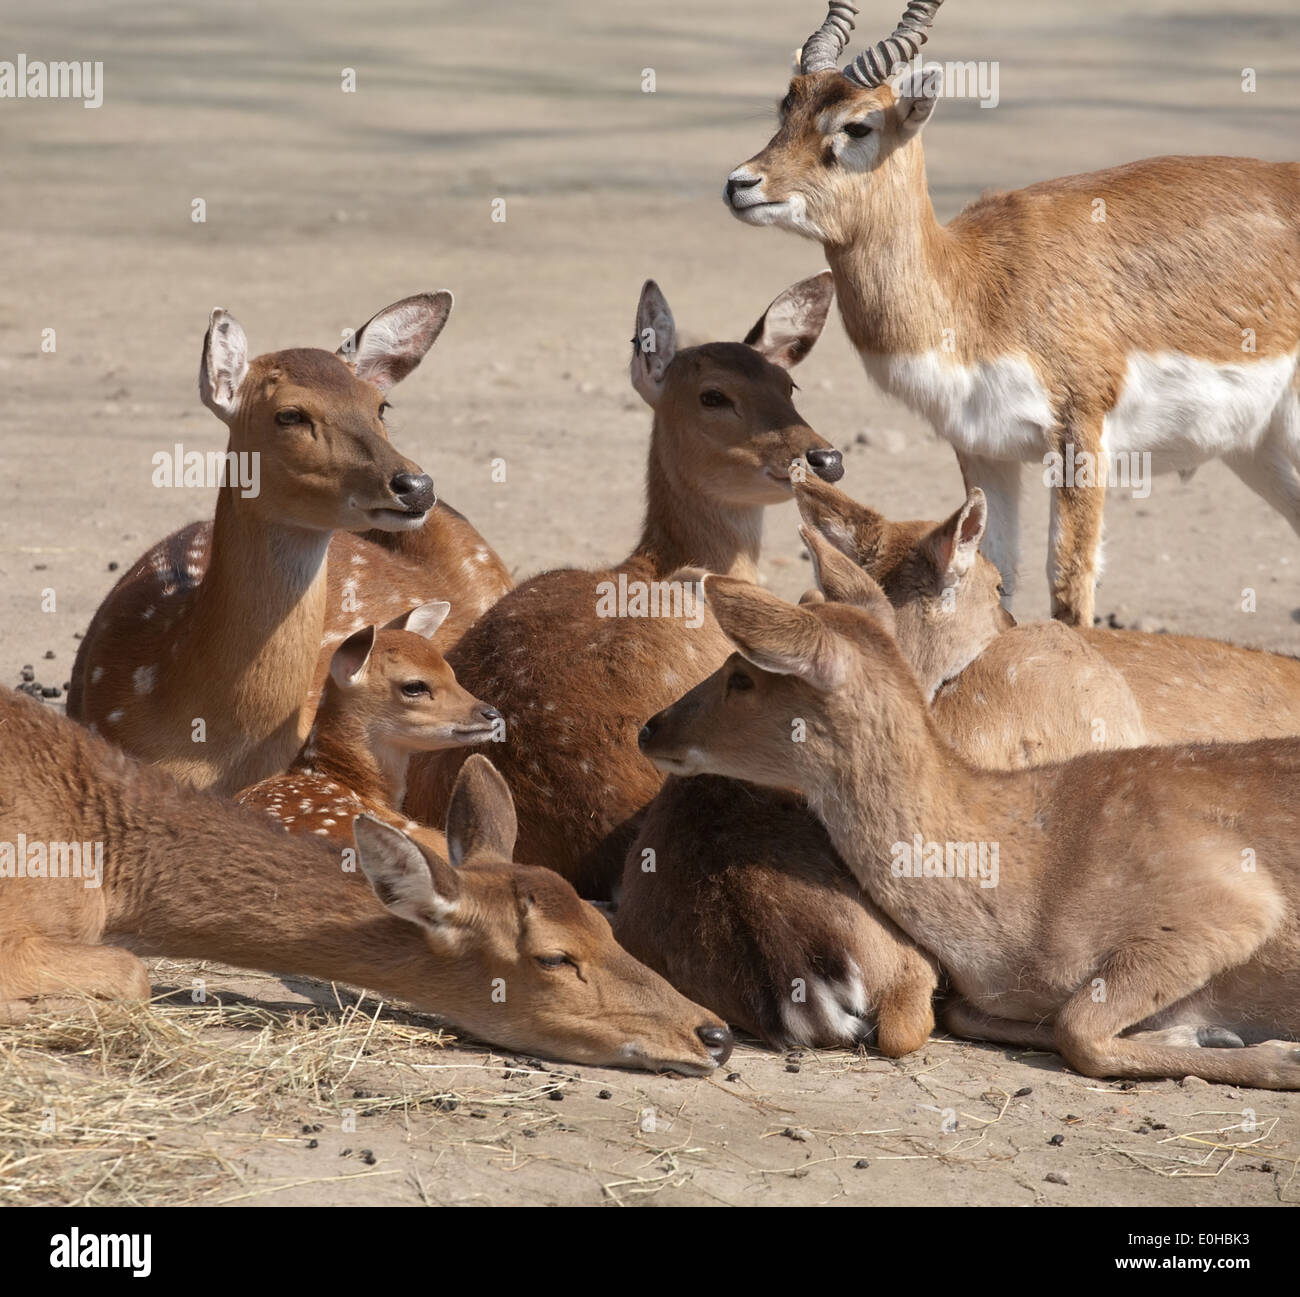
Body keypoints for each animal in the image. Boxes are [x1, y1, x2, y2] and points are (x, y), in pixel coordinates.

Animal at [637, 558, 1300, 1089]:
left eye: (741, 676)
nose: (650, 727)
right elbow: (1017, 1018)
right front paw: (1200, 1034)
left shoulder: (1227, 901)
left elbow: (1077, 1028)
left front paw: (1278, 1057)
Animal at [725, 1, 1300, 626]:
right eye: (787, 105)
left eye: (857, 125)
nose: (741, 185)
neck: (975, 287)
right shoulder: (982, 448)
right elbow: (990, 570)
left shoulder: (1080, 432)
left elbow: (1069, 582)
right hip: (1260, 448)